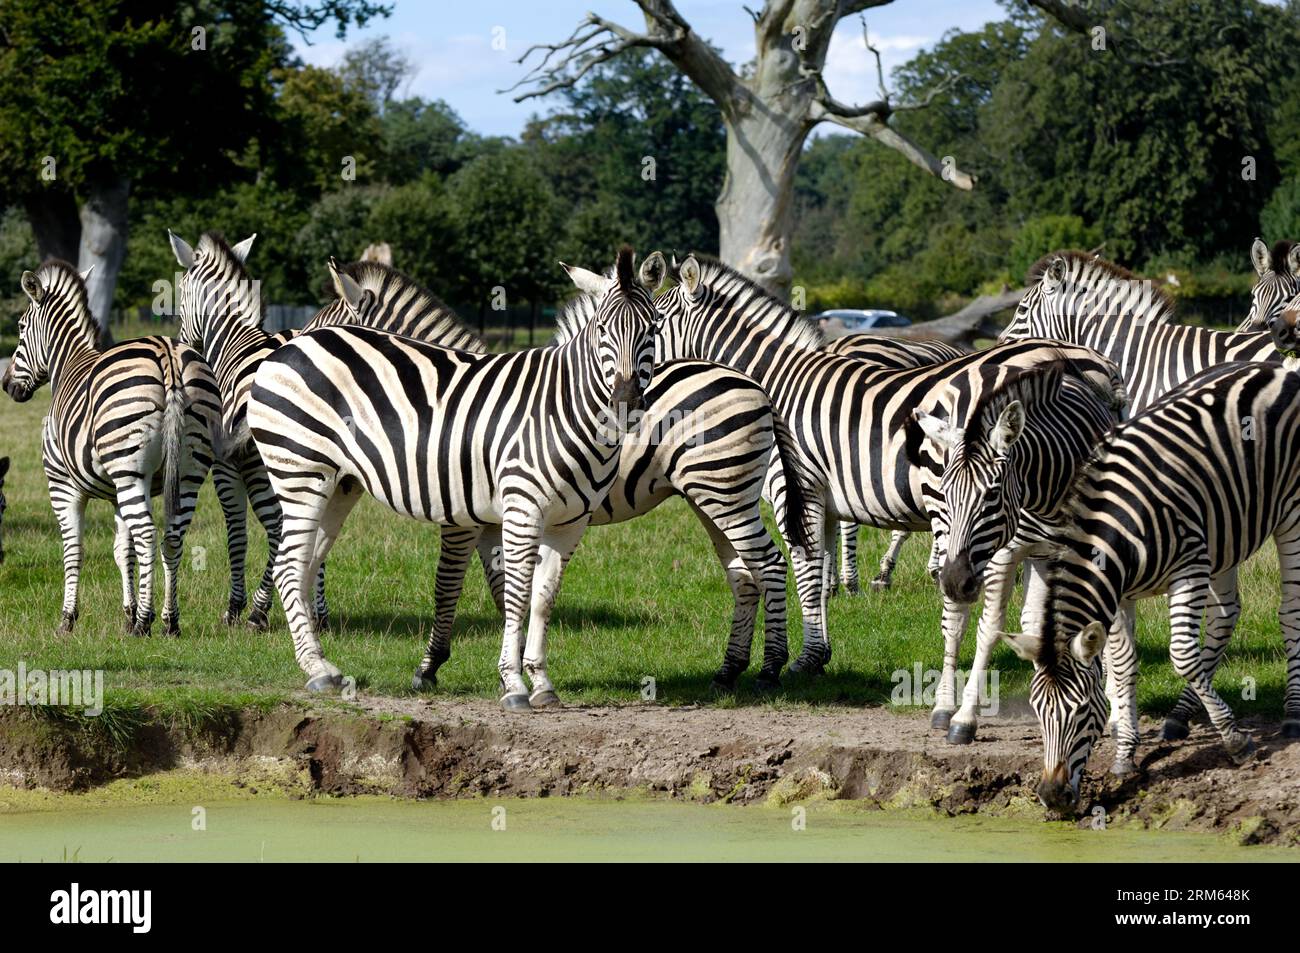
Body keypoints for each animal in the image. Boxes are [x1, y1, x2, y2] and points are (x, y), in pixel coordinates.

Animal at [0, 261, 221, 635]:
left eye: (20, 328)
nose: (6, 386)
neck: (68, 362)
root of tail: (167, 353)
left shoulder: (62, 485)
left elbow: (74, 549)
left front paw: (68, 619)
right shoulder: (119, 492)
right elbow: (122, 551)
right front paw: (128, 613)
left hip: (130, 471)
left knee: (147, 536)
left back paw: (145, 623)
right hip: (186, 472)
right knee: (172, 538)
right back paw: (169, 621)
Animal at [246, 247, 662, 707]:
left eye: (653, 329)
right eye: (602, 330)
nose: (626, 402)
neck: (563, 406)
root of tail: (284, 352)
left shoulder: (568, 522)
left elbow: (540, 597)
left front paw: (538, 681)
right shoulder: (505, 512)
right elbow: (503, 591)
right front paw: (510, 682)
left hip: (339, 484)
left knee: (304, 563)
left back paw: (321, 664)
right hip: (302, 471)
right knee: (288, 565)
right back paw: (316, 669)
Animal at [310, 257, 810, 691]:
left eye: (322, 332)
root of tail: (755, 385)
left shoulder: (464, 518)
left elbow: (448, 585)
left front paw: (433, 667)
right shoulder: (496, 515)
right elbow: (507, 587)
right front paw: (515, 662)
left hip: (726, 492)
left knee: (769, 564)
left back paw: (770, 669)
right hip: (712, 497)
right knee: (744, 576)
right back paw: (728, 671)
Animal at [912, 359, 1130, 753]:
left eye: (992, 494)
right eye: (949, 492)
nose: (957, 580)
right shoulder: (1004, 552)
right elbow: (989, 629)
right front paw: (964, 719)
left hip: (1036, 555)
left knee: (1030, 618)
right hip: (951, 538)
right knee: (955, 620)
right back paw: (944, 707)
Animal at [999, 362, 1300, 811]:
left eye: (1083, 710)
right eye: (1037, 711)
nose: (1052, 798)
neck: (1119, 527)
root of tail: (1274, 366)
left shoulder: (1190, 566)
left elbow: (1182, 656)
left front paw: (1236, 741)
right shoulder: (1119, 592)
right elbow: (1123, 666)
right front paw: (1126, 753)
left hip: (1291, 513)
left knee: (1290, 612)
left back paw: (1293, 715)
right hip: (1225, 532)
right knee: (1226, 614)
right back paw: (1179, 716)